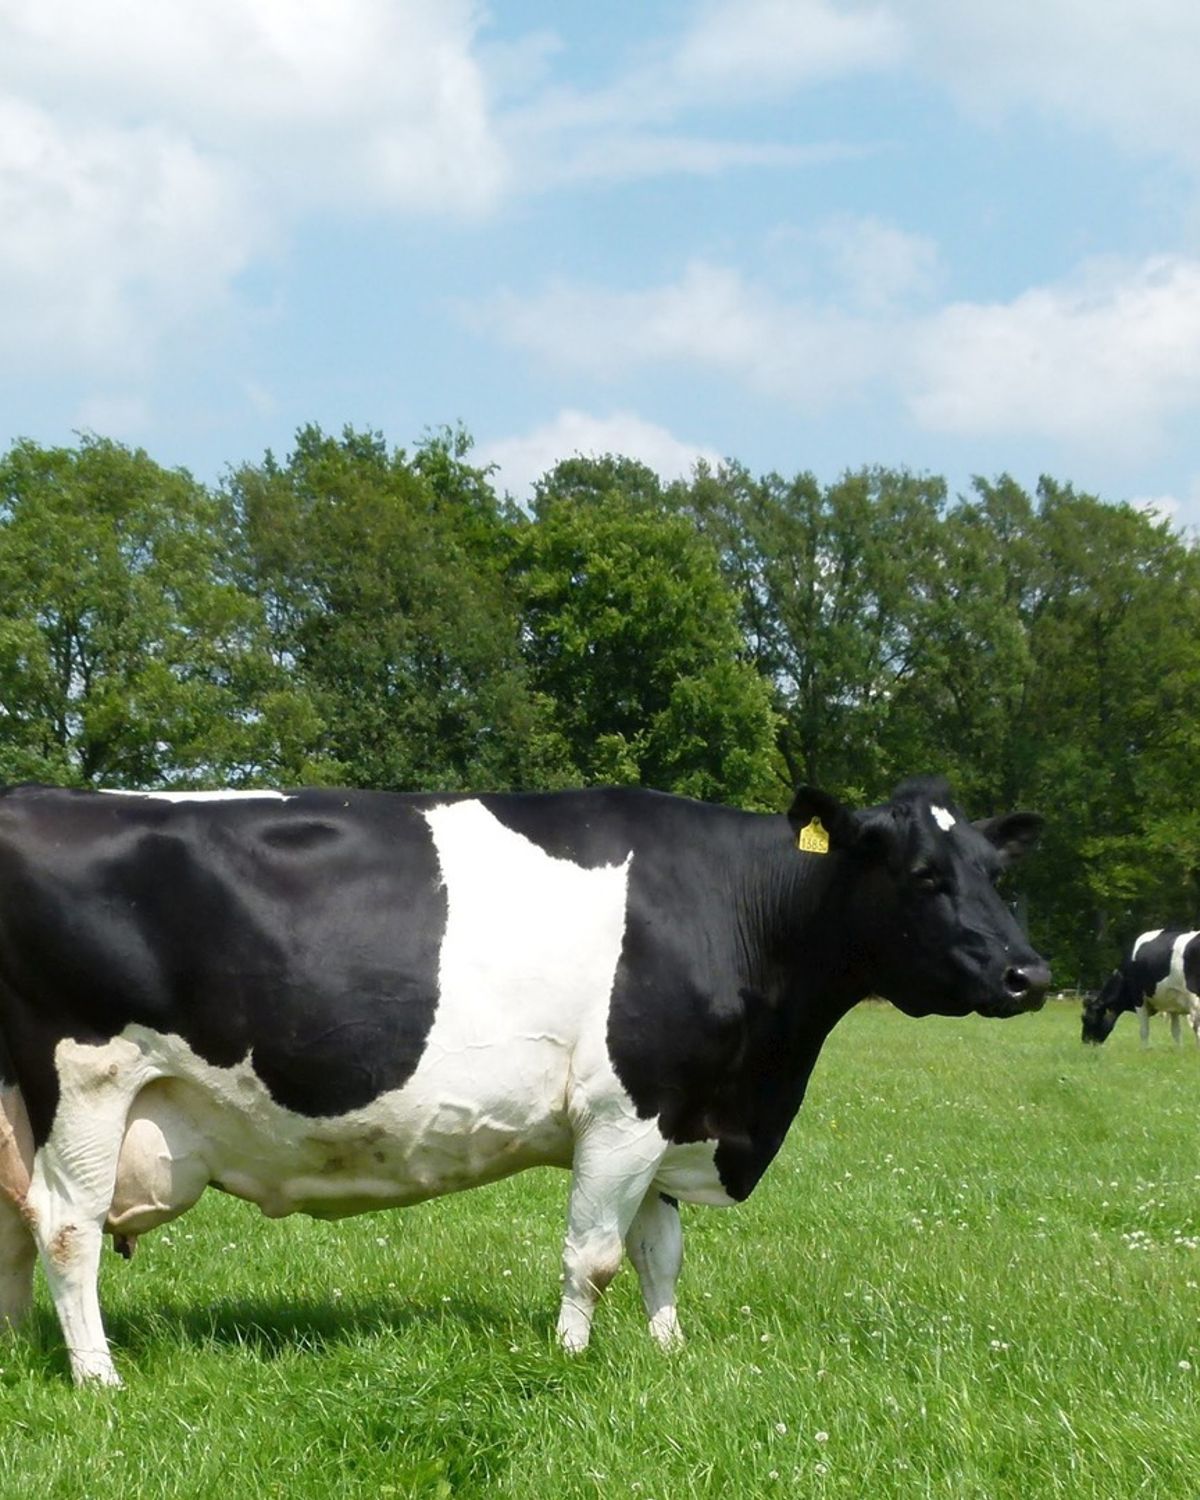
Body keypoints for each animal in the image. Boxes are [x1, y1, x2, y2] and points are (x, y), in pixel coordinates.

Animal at [0, 774, 1048, 1386]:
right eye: (921, 874)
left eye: (997, 870)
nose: (1028, 974)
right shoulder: (624, 1111)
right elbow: (595, 1256)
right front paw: (571, 1359)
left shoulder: (672, 1111)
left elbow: (662, 1252)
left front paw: (668, 1354)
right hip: (88, 1079)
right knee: (67, 1229)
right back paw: (97, 1378)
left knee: (16, 1225)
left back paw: (18, 1353)